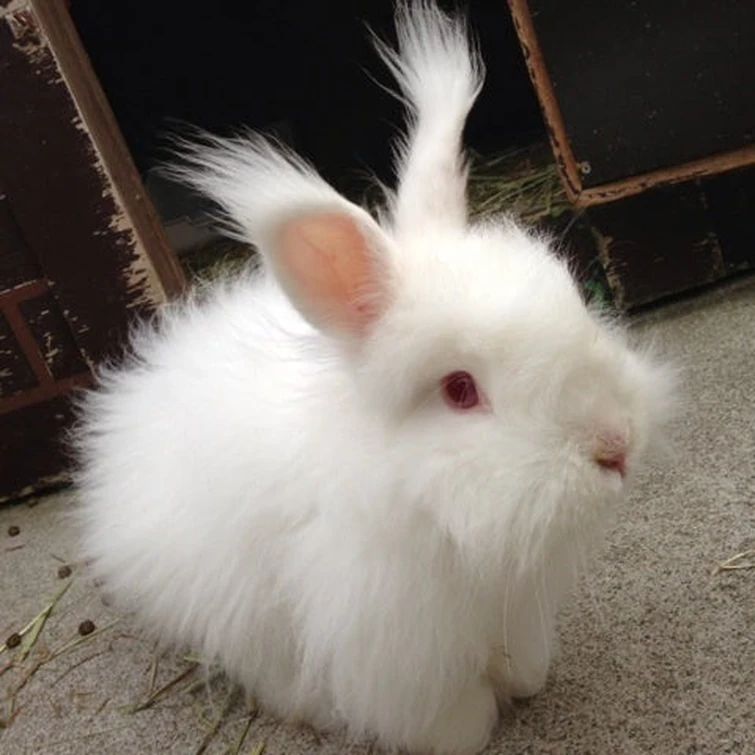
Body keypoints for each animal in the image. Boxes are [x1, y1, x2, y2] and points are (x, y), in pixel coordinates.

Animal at [72, 1, 676, 753]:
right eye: (459, 390)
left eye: (577, 308)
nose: (615, 446)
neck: (424, 508)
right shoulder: (388, 643)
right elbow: (443, 714)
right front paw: (471, 728)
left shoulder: (513, 604)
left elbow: (524, 660)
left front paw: (526, 681)